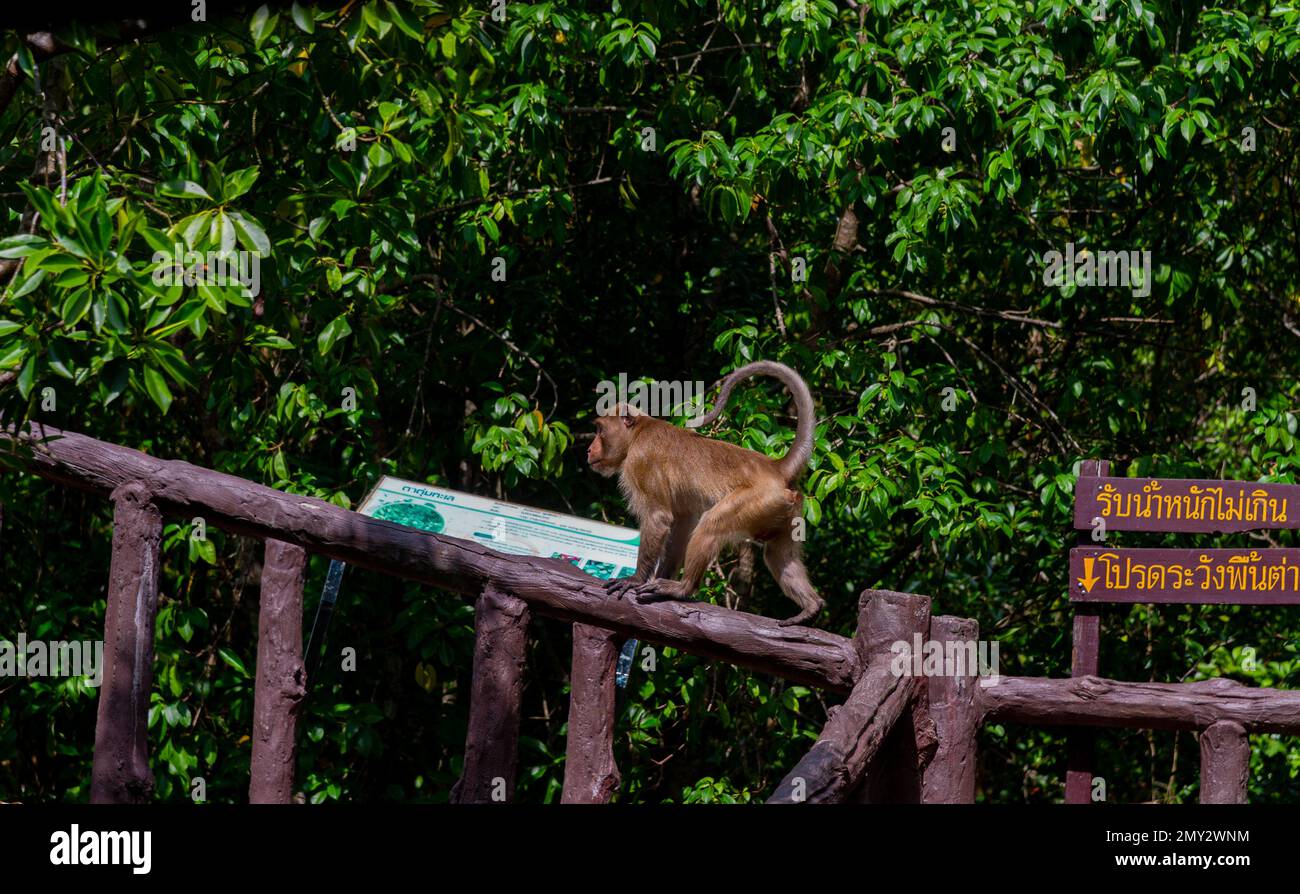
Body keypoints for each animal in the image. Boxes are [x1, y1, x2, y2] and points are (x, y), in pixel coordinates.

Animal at [586, 361, 825, 627]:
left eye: (600, 431)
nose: (589, 449)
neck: (640, 431)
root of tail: (776, 467)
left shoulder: (640, 461)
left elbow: (659, 518)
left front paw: (636, 580)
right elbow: (680, 523)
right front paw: (657, 576)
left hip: (760, 499)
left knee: (711, 524)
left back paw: (683, 588)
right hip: (785, 508)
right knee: (776, 554)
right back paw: (811, 606)